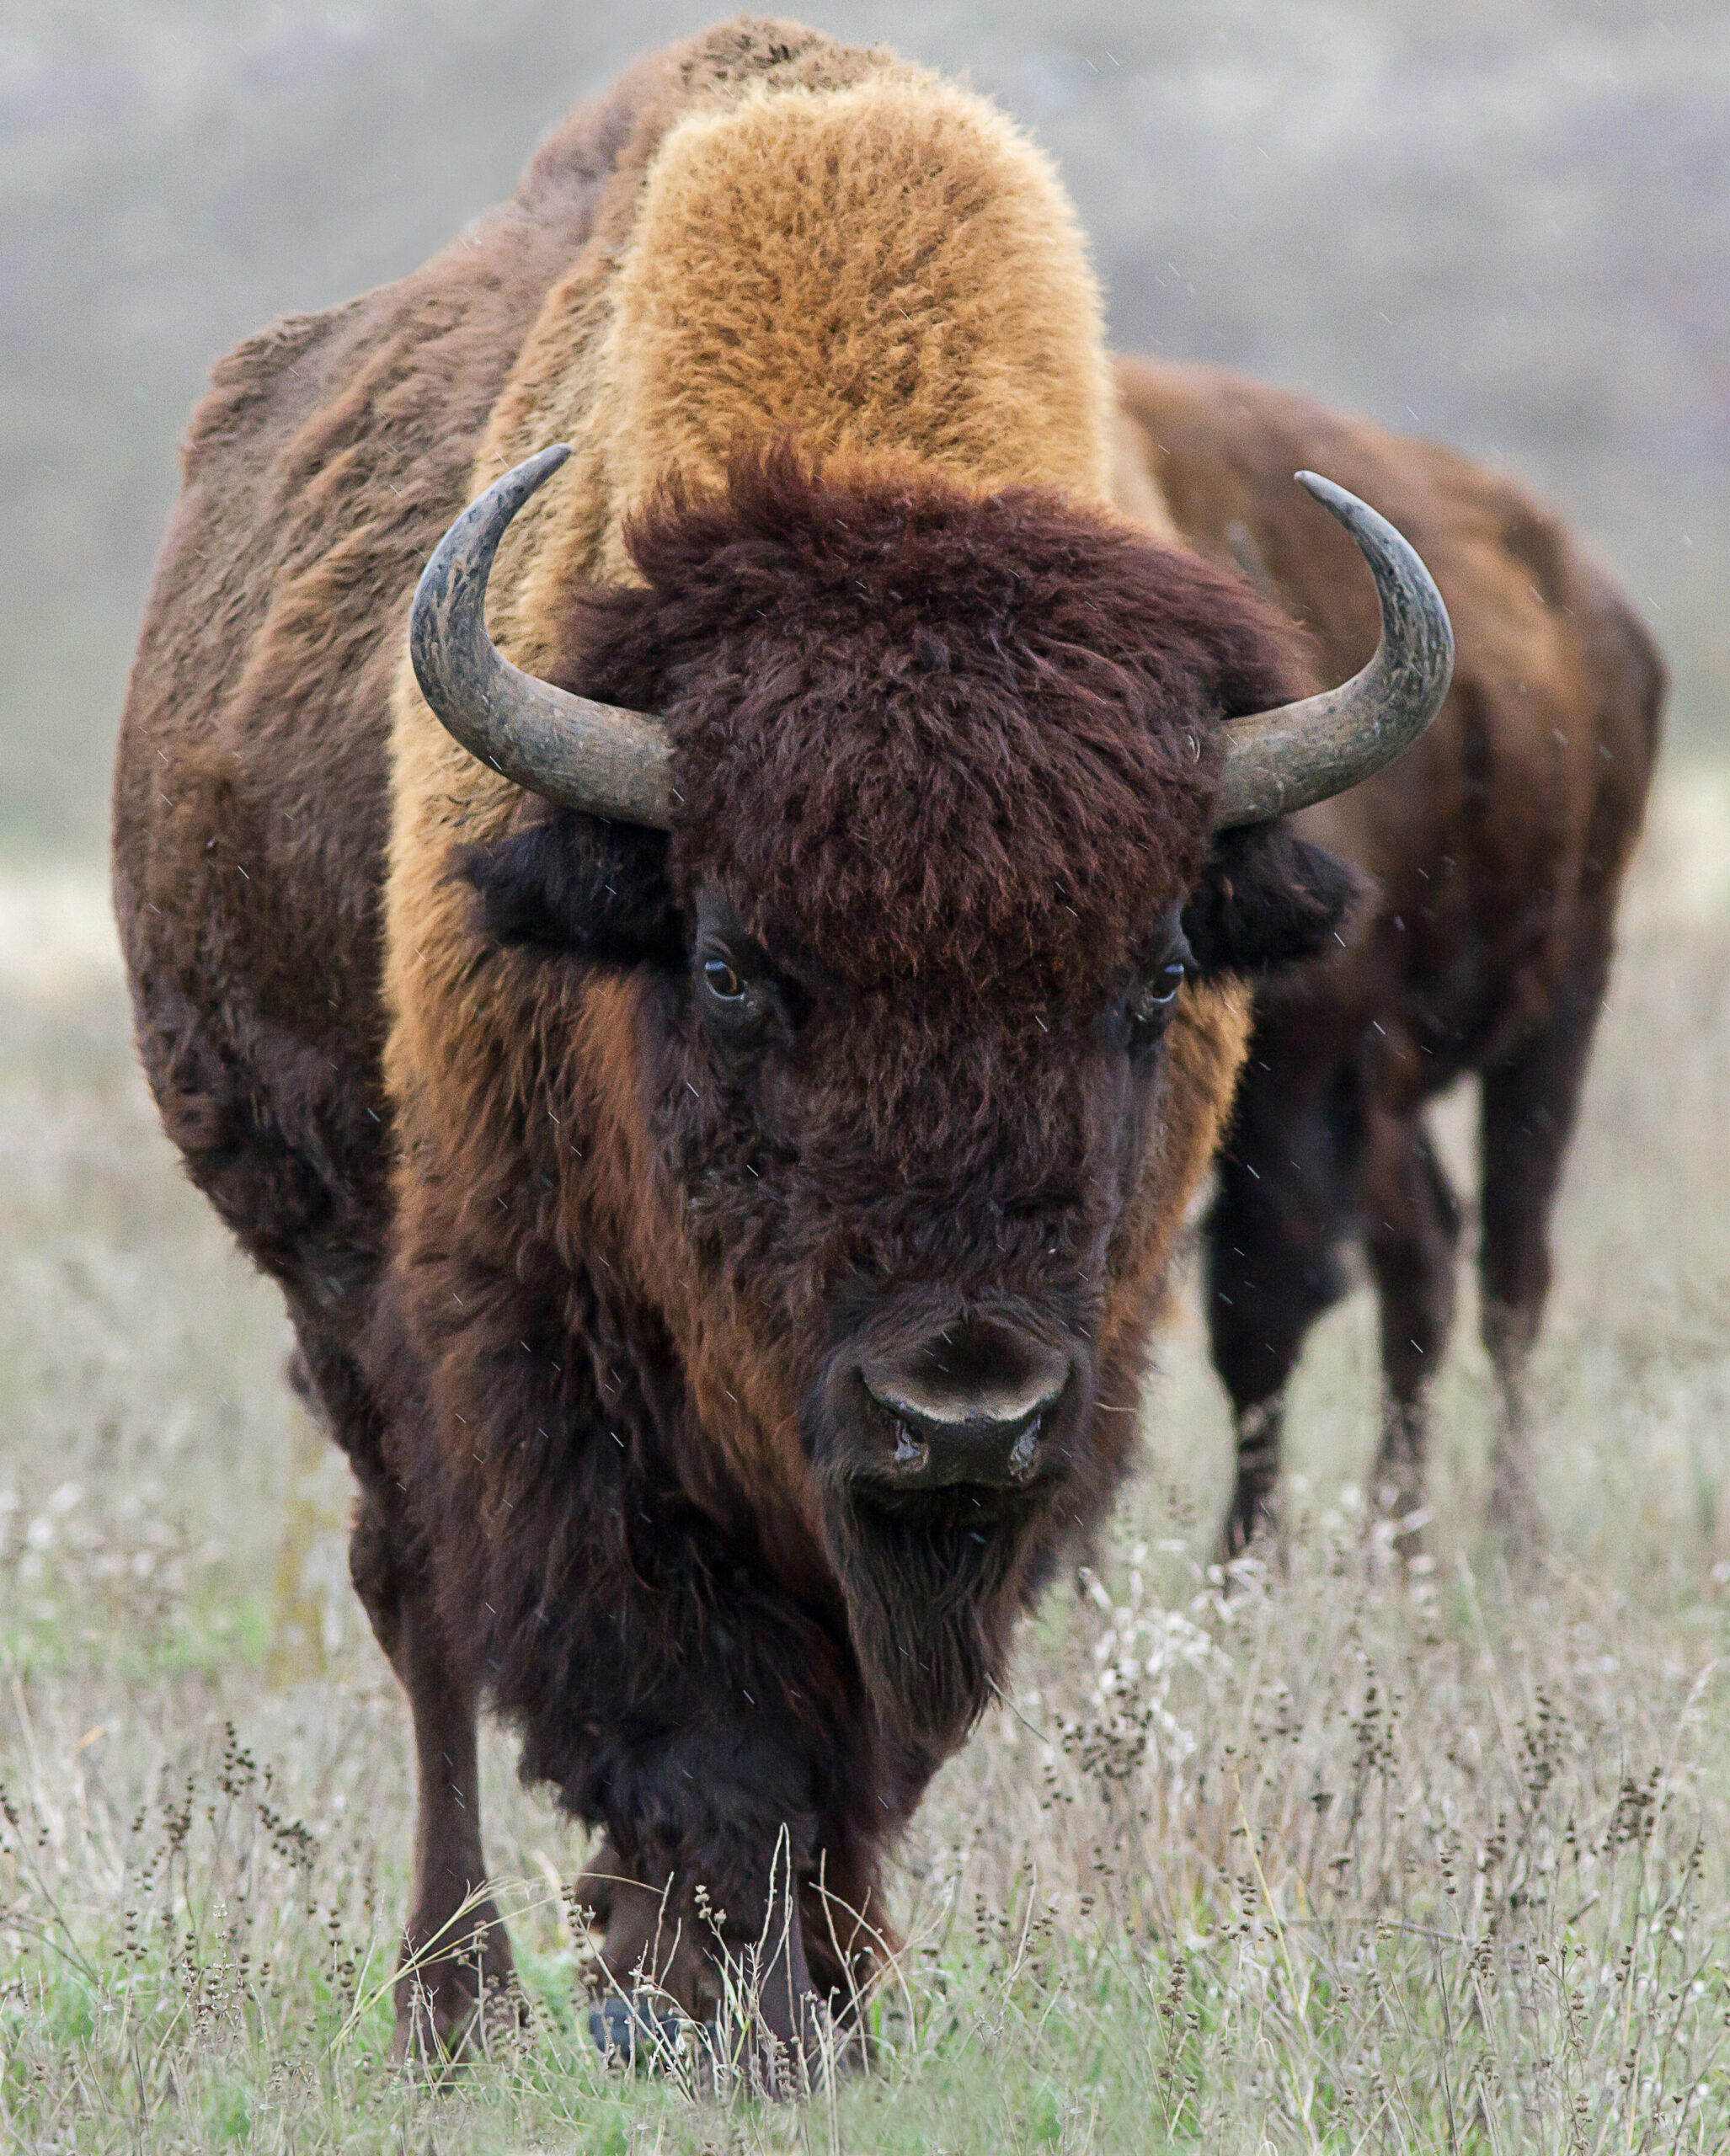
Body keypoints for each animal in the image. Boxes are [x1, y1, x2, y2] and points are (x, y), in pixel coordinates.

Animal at [113, 20, 1454, 2070]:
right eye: (732, 963)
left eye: (1151, 973)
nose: (958, 1404)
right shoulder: (555, 1352)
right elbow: (687, 1699)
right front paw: (712, 2010)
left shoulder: (1061, 1389)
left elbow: (857, 1729)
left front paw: (814, 1996)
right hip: (327, 1266)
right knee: (417, 1604)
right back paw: (457, 1998)